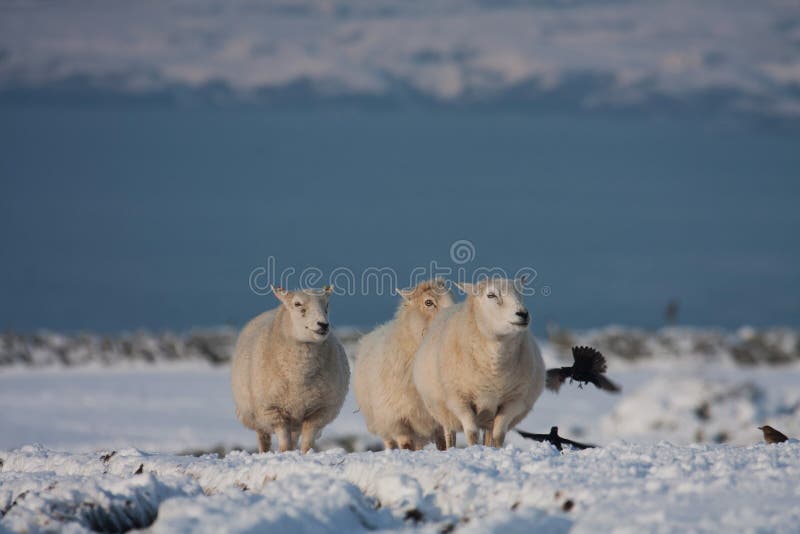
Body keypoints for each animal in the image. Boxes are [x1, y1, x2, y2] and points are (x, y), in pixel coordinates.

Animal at [231, 285, 349, 453]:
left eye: (327, 304)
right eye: (297, 304)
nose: (323, 325)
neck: (299, 375)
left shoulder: (319, 412)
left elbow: (307, 444)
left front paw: (304, 455)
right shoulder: (274, 411)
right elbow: (284, 443)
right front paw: (284, 454)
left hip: (296, 419)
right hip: (256, 415)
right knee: (263, 437)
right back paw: (264, 453)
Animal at [353, 279, 454, 451]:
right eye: (428, 302)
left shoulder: (441, 416)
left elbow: (447, 443)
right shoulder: (397, 421)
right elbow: (406, 445)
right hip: (383, 424)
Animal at [412, 278, 545, 448]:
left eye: (519, 294)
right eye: (491, 295)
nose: (523, 314)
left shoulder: (512, 402)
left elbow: (498, 435)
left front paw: (495, 450)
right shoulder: (460, 401)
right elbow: (472, 433)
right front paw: (474, 449)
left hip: (488, 417)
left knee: (488, 434)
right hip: (443, 411)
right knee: (449, 432)